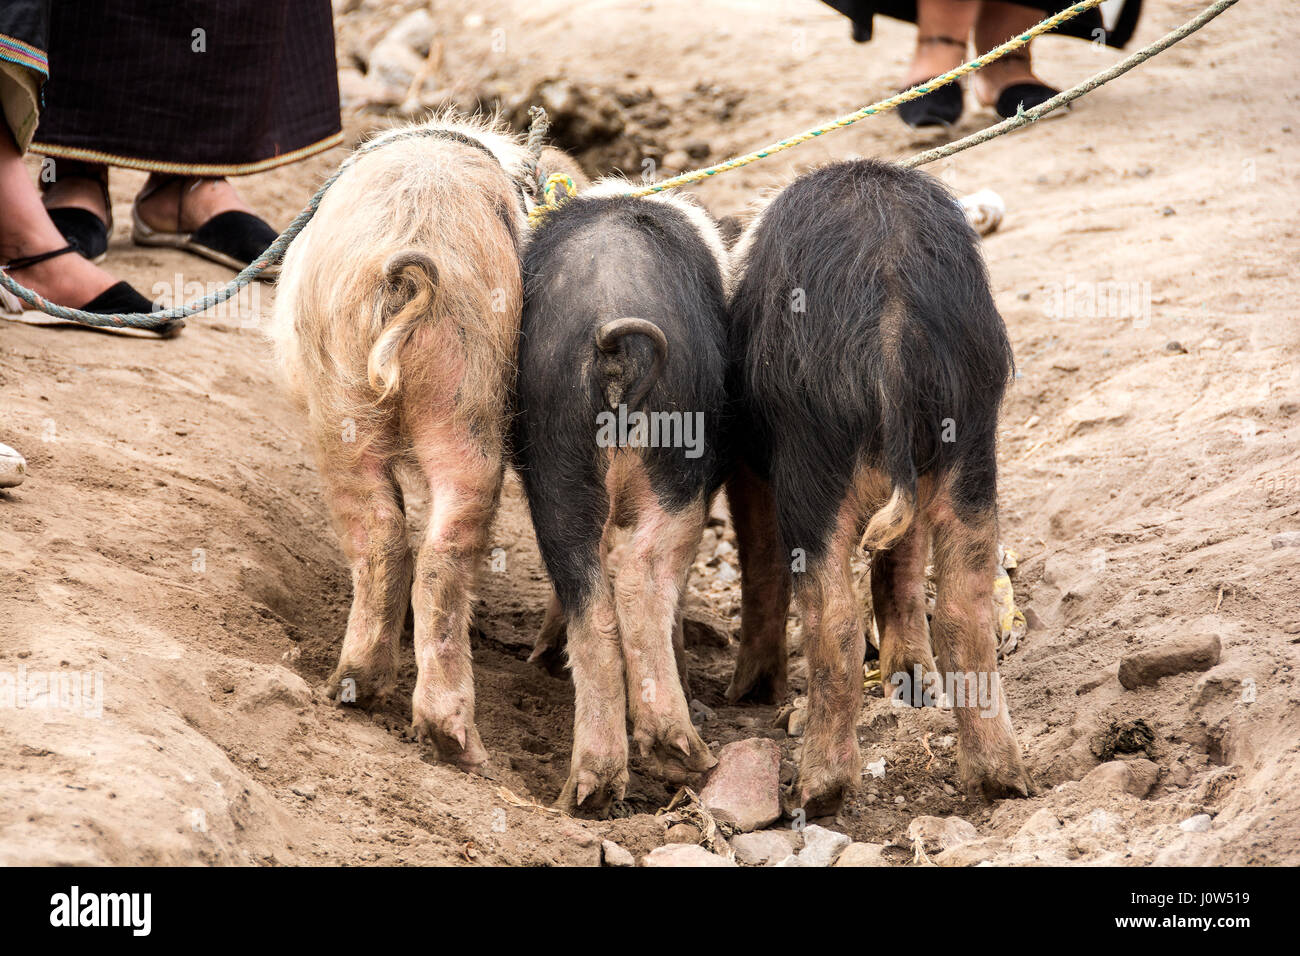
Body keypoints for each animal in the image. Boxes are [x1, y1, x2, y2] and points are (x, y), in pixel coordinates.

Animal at [268, 113, 578, 770]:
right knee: (423, 544)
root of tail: (413, 264)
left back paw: (389, 708)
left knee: (393, 537)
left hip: (353, 390)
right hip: (450, 387)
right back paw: (417, 722)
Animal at [513, 180, 730, 812]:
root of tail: (613, 334)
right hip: (683, 453)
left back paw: (588, 792)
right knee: (639, 569)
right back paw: (687, 755)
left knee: (588, 592)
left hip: (555, 449)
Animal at [727, 158, 1033, 813]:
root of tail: (893, 326)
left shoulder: (749, 464)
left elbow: (761, 560)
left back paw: (817, 790)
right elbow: (904, 565)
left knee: (833, 620)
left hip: (809, 459)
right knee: (962, 607)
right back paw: (1000, 779)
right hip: (970, 438)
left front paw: (750, 694)